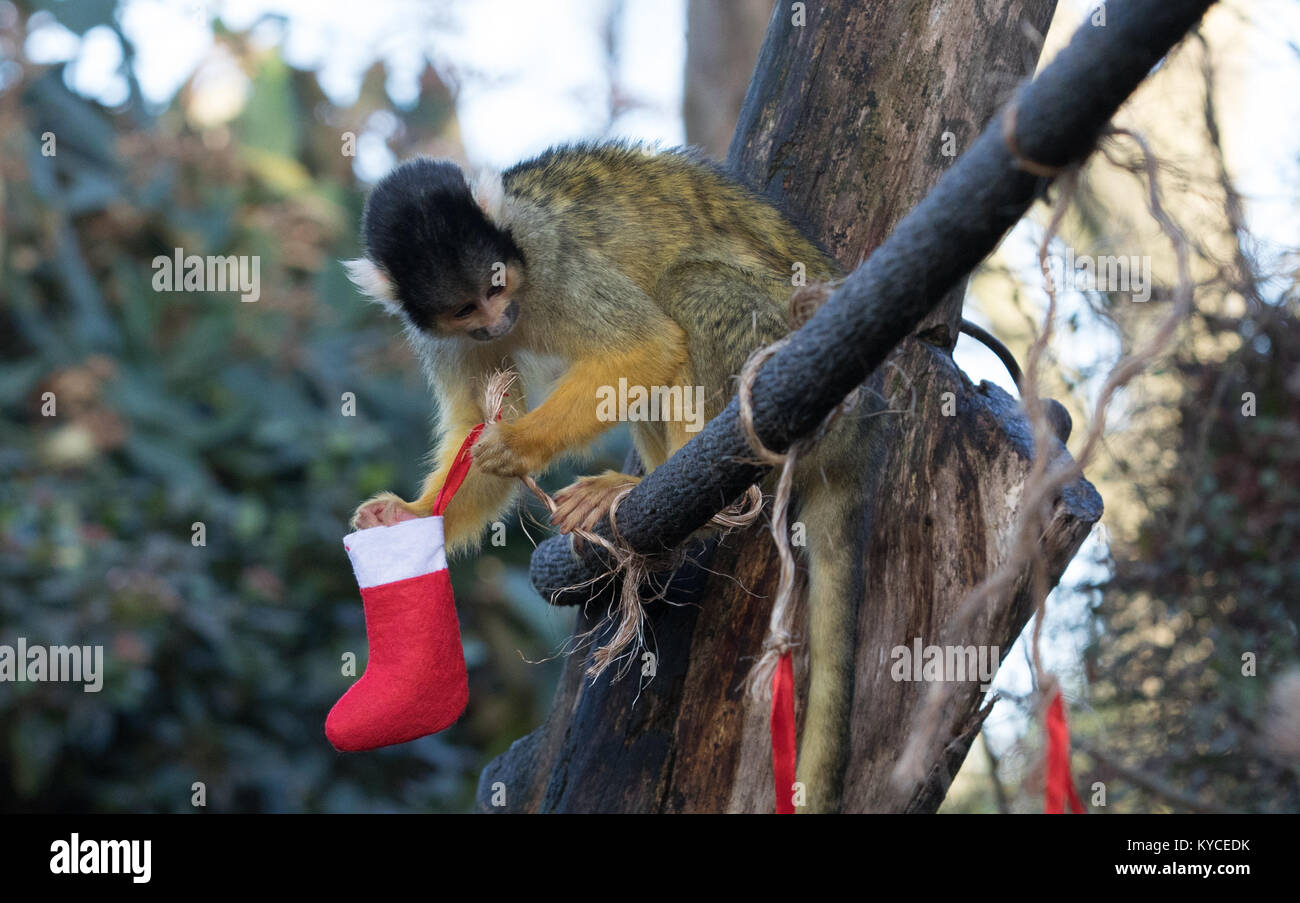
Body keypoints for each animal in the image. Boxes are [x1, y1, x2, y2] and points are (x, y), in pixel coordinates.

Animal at [344, 142, 872, 812]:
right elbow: (474, 417)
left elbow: (645, 345)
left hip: (784, 345)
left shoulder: (550, 258)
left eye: (497, 286)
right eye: (466, 308)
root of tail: (856, 424)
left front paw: (516, 444)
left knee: (686, 284)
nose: (497, 318)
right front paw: (408, 516)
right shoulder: (441, 332)